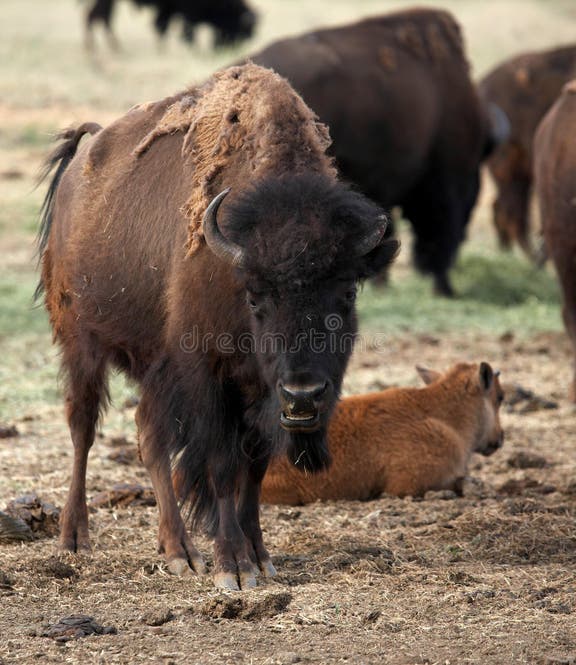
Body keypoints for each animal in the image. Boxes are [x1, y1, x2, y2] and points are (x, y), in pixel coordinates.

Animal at [37, 64, 399, 589]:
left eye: (348, 293)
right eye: (255, 295)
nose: (305, 395)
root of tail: (81, 162)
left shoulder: (259, 394)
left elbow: (255, 470)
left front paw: (260, 556)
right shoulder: (211, 378)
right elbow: (225, 469)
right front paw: (234, 567)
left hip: (155, 365)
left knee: (148, 435)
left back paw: (178, 551)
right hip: (81, 343)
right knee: (83, 430)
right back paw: (74, 538)